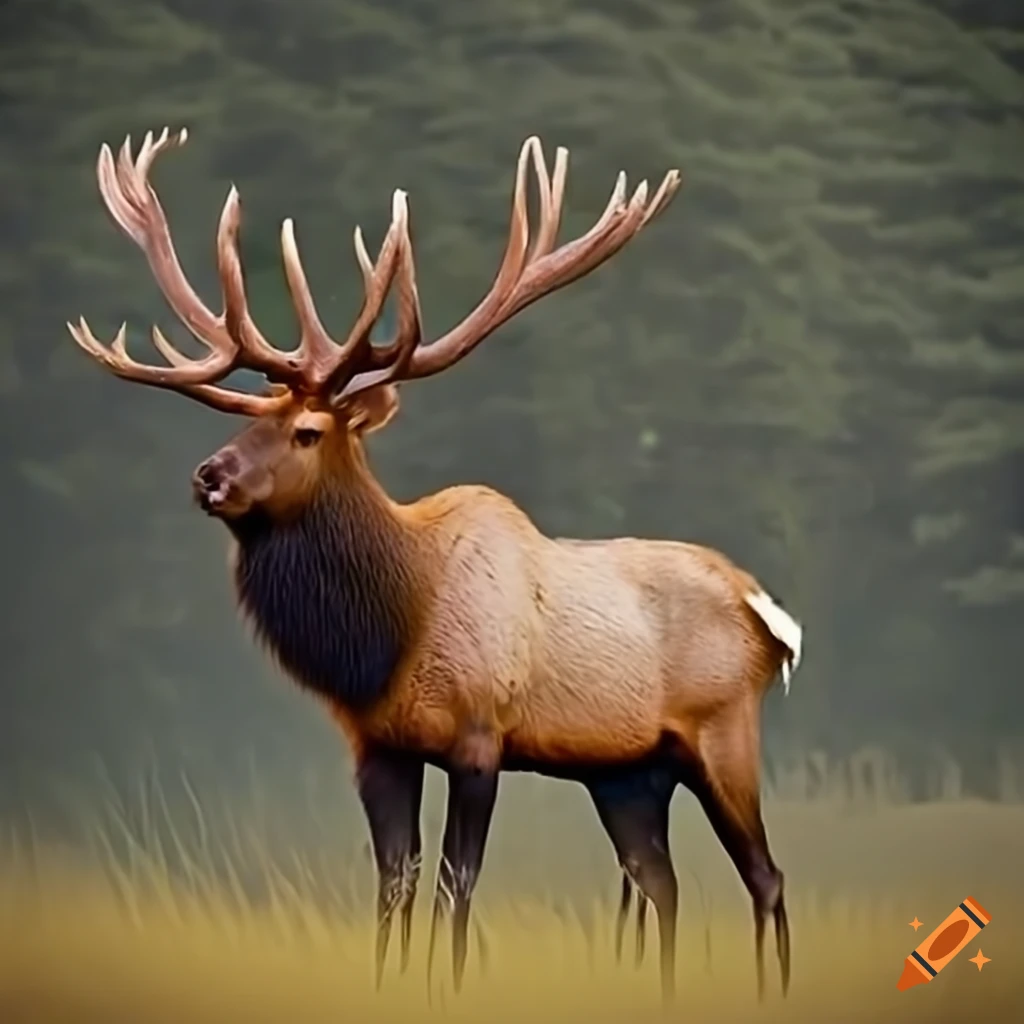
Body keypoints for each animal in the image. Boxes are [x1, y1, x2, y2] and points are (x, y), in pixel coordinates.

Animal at [67, 126, 801, 1007]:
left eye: (309, 430)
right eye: (249, 417)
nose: (209, 476)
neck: (391, 634)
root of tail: (771, 616)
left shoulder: (480, 735)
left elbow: (458, 882)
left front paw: (444, 990)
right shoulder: (377, 745)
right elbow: (395, 883)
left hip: (724, 731)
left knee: (764, 875)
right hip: (627, 773)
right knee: (660, 881)